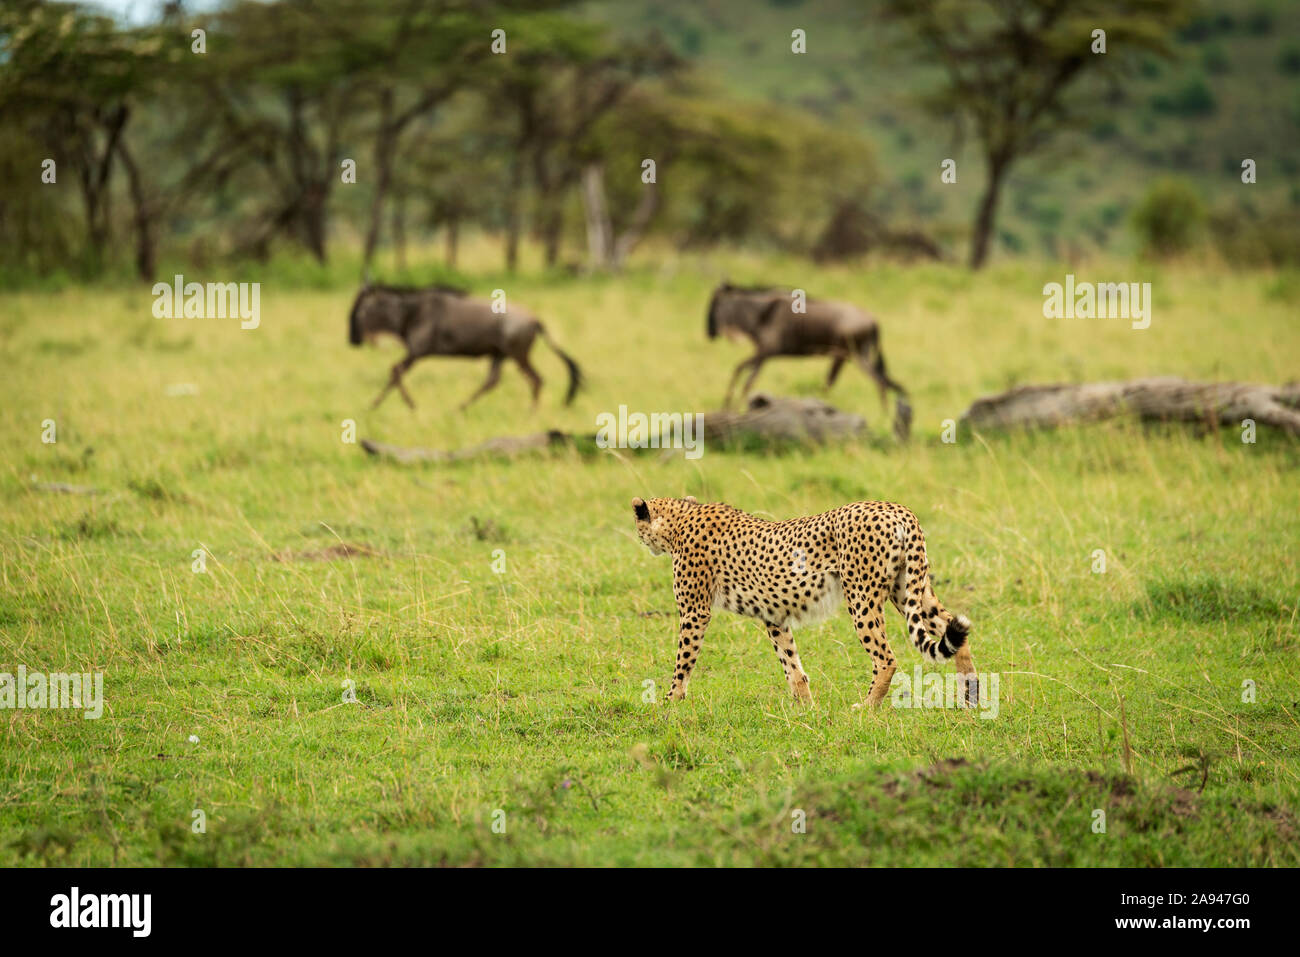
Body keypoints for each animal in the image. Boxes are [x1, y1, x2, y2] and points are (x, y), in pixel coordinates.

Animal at [631, 495, 977, 709]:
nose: (642, 541)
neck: (680, 520)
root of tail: (896, 508)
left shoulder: (694, 612)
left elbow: (683, 660)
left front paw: (670, 700)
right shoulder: (774, 614)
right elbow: (791, 664)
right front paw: (806, 707)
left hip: (862, 596)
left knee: (886, 658)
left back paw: (866, 707)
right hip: (909, 591)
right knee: (954, 632)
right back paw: (969, 697)